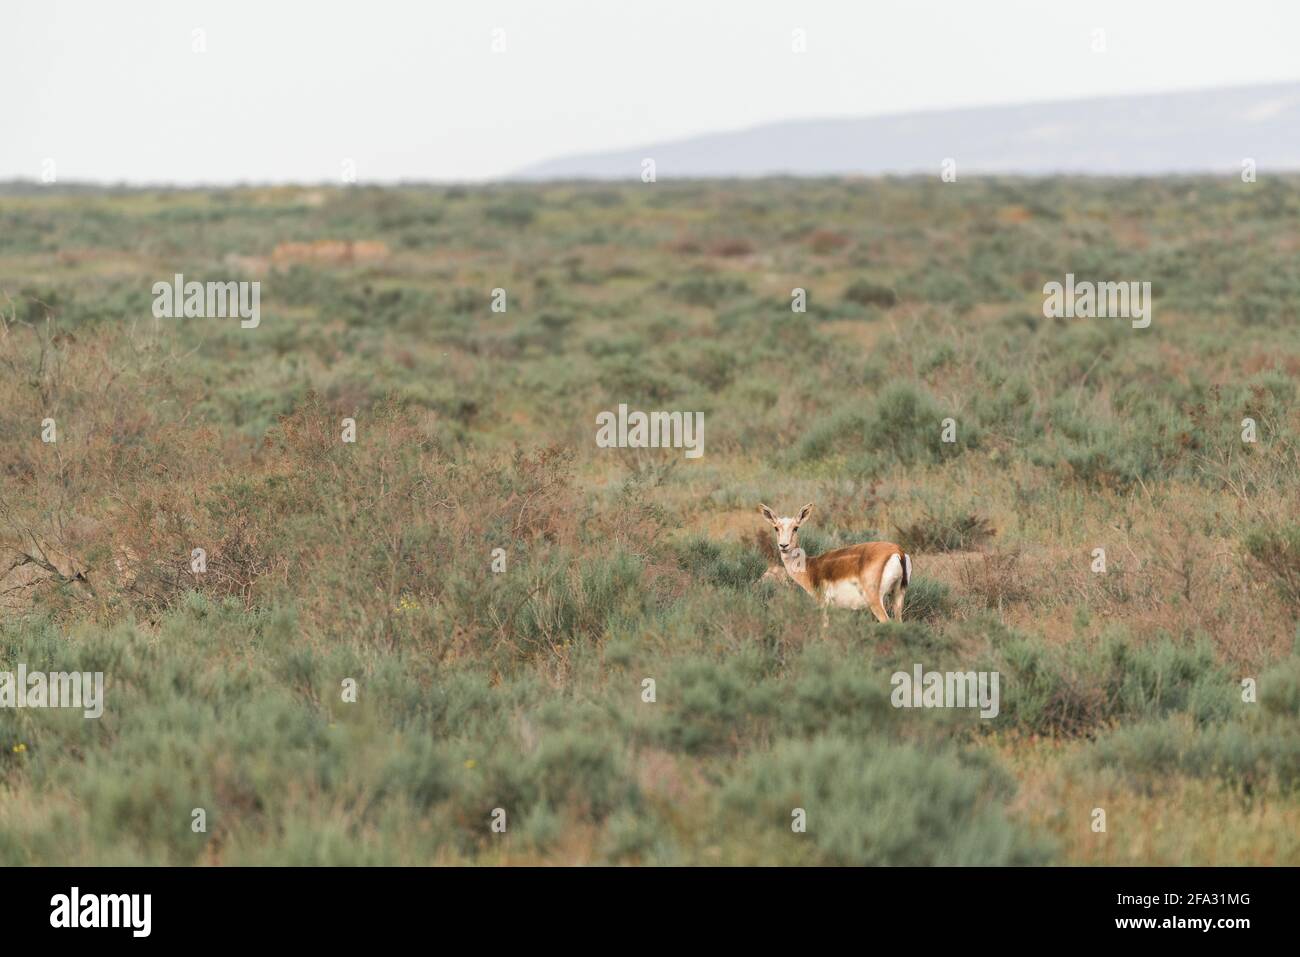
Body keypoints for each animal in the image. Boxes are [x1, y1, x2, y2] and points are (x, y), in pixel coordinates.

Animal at [759, 503, 911, 625]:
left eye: (796, 528)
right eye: (776, 528)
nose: (784, 545)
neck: (810, 567)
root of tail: (898, 551)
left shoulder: (823, 604)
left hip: (876, 601)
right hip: (898, 596)